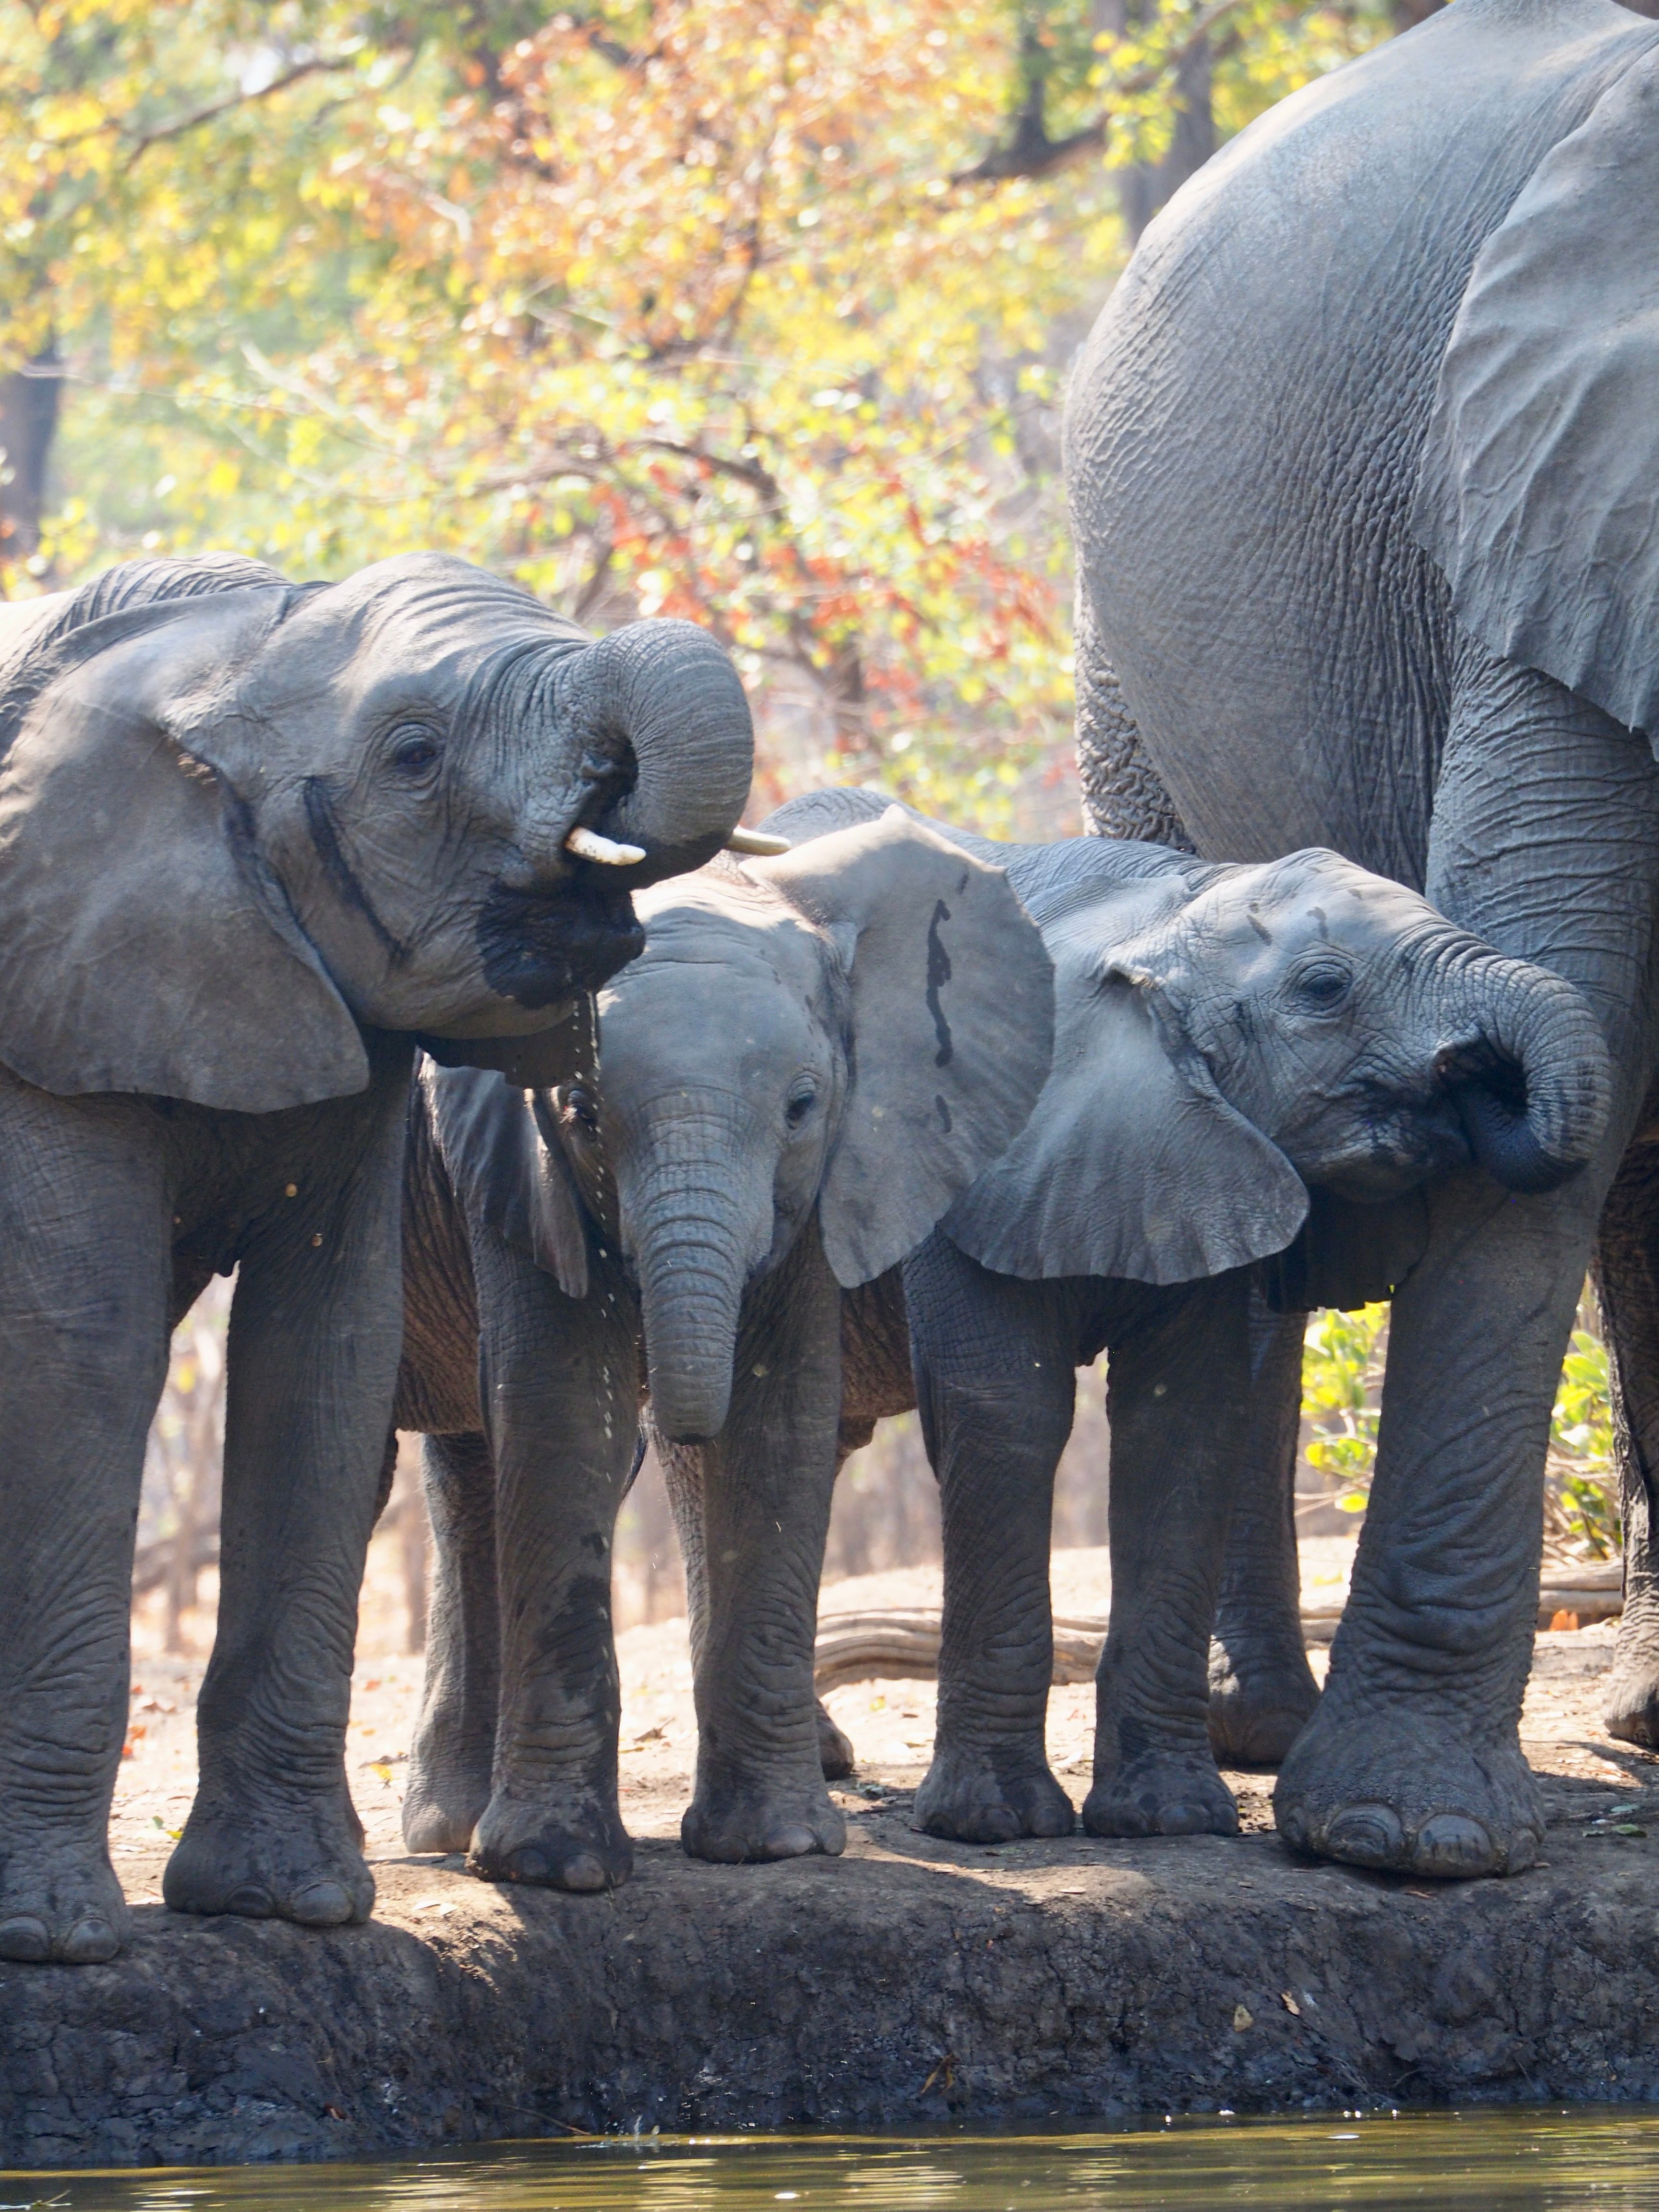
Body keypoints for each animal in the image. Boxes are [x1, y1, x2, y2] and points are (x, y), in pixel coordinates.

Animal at [0, 548, 755, 1962]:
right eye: (411, 755)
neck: (214, 657)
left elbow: (322, 1356)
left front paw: (288, 1906)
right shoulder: (41, 995)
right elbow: (84, 1352)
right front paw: (57, 1940)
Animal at [391, 803, 1055, 1885]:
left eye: (802, 1107)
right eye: (580, 1112)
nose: (675, 1414)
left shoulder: (837, 1172)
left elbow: (780, 1418)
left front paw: (774, 1847)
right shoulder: (513, 1155)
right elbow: (560, 1409)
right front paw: (555, 1868)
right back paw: (452, 1832)